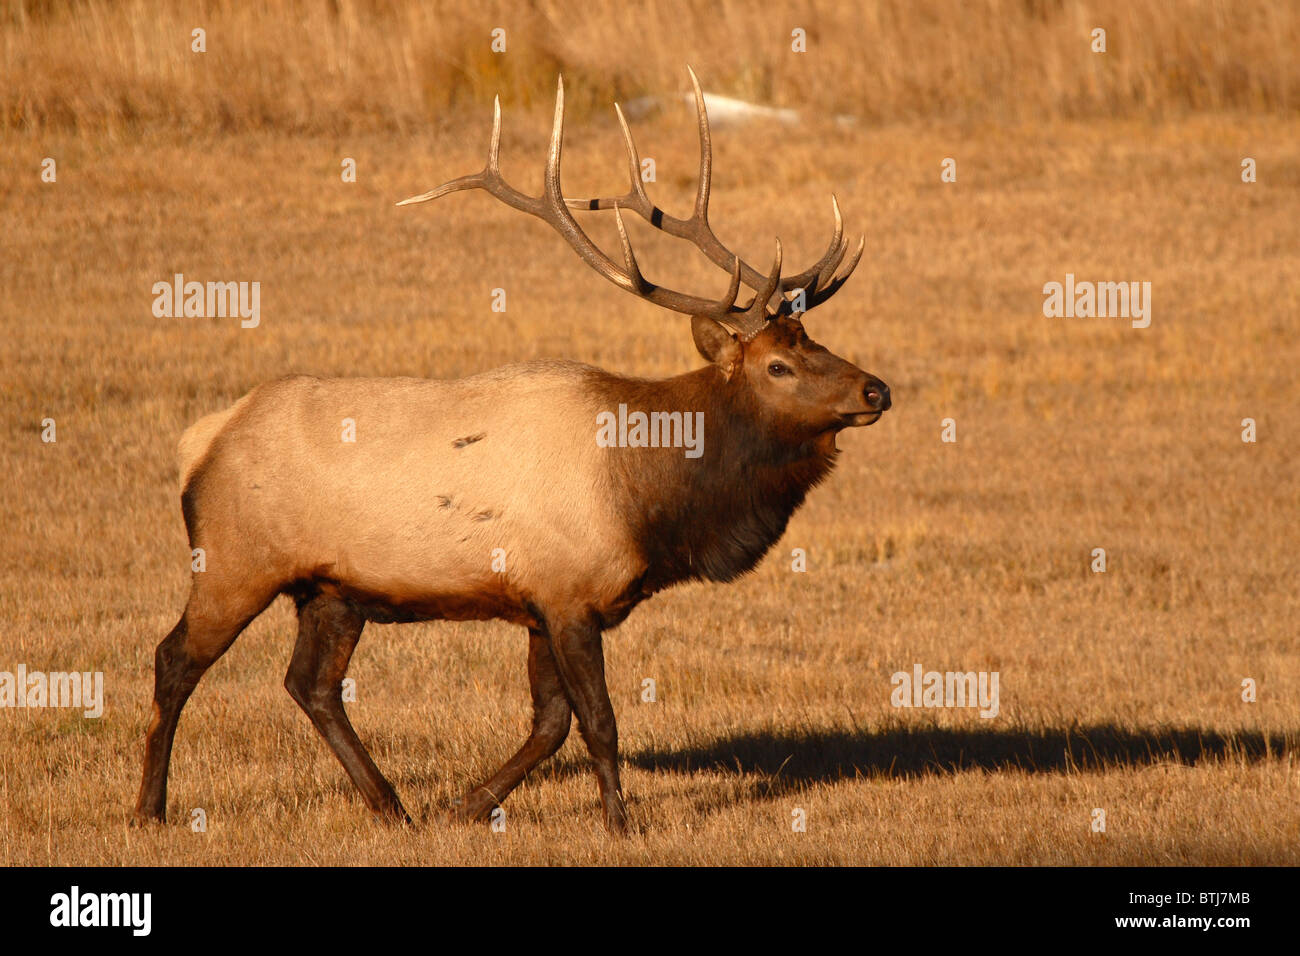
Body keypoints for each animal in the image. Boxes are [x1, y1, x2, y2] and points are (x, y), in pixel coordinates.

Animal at [133, 68, 891, 835]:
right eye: (777, 366)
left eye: (816, 340)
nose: (877, 389)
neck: (650, 495)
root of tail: (202, 439)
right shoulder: (569, 593)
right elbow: (598, 720)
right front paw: (621, 824)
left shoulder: (542, 602)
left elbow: (549, 722)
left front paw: (467, 804)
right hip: (235, 561)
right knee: (176, 659)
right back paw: (150, 809)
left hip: (332, 588)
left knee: (311, 683)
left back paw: (393, 807)